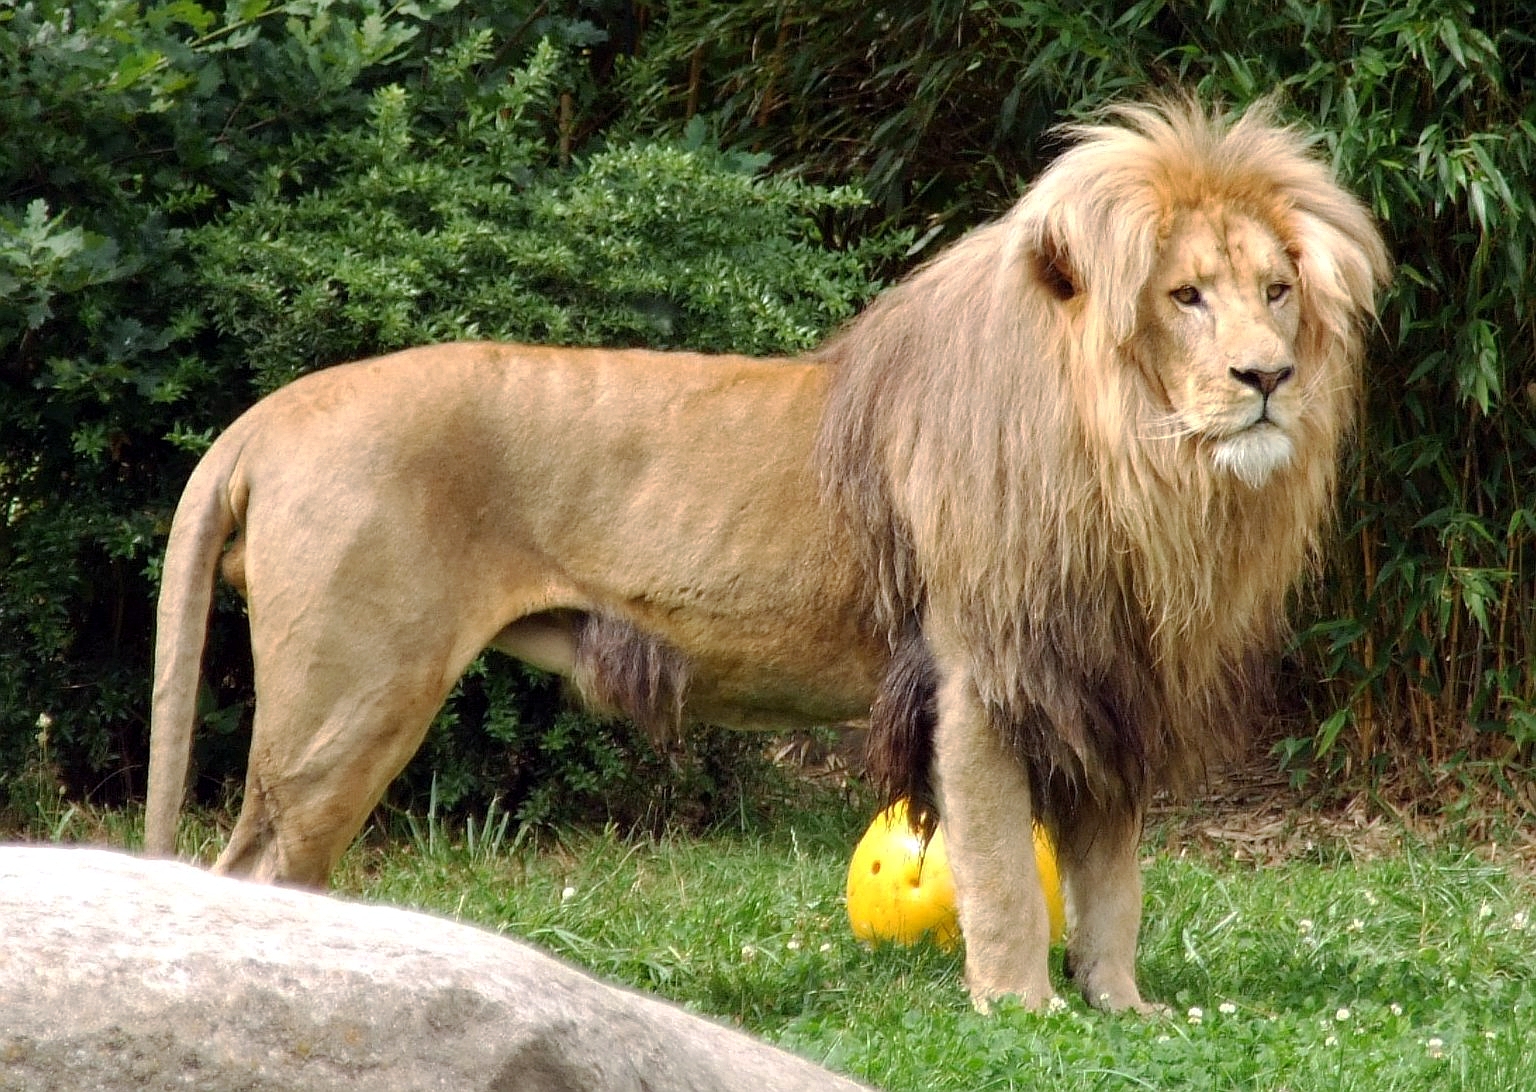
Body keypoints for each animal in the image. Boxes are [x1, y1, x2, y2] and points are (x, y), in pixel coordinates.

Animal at [146, 97, 1388, 1013]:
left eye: (1277, 291)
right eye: (1186, 298)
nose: (1269, 377)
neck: (1144, 472)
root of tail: (268, 417)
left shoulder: (1103, 682)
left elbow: (1110, 882)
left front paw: (1126, 1011)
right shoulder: (981, 679)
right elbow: (999, 872)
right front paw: (1023, 1011)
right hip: (351, 703)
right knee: (251, 874)